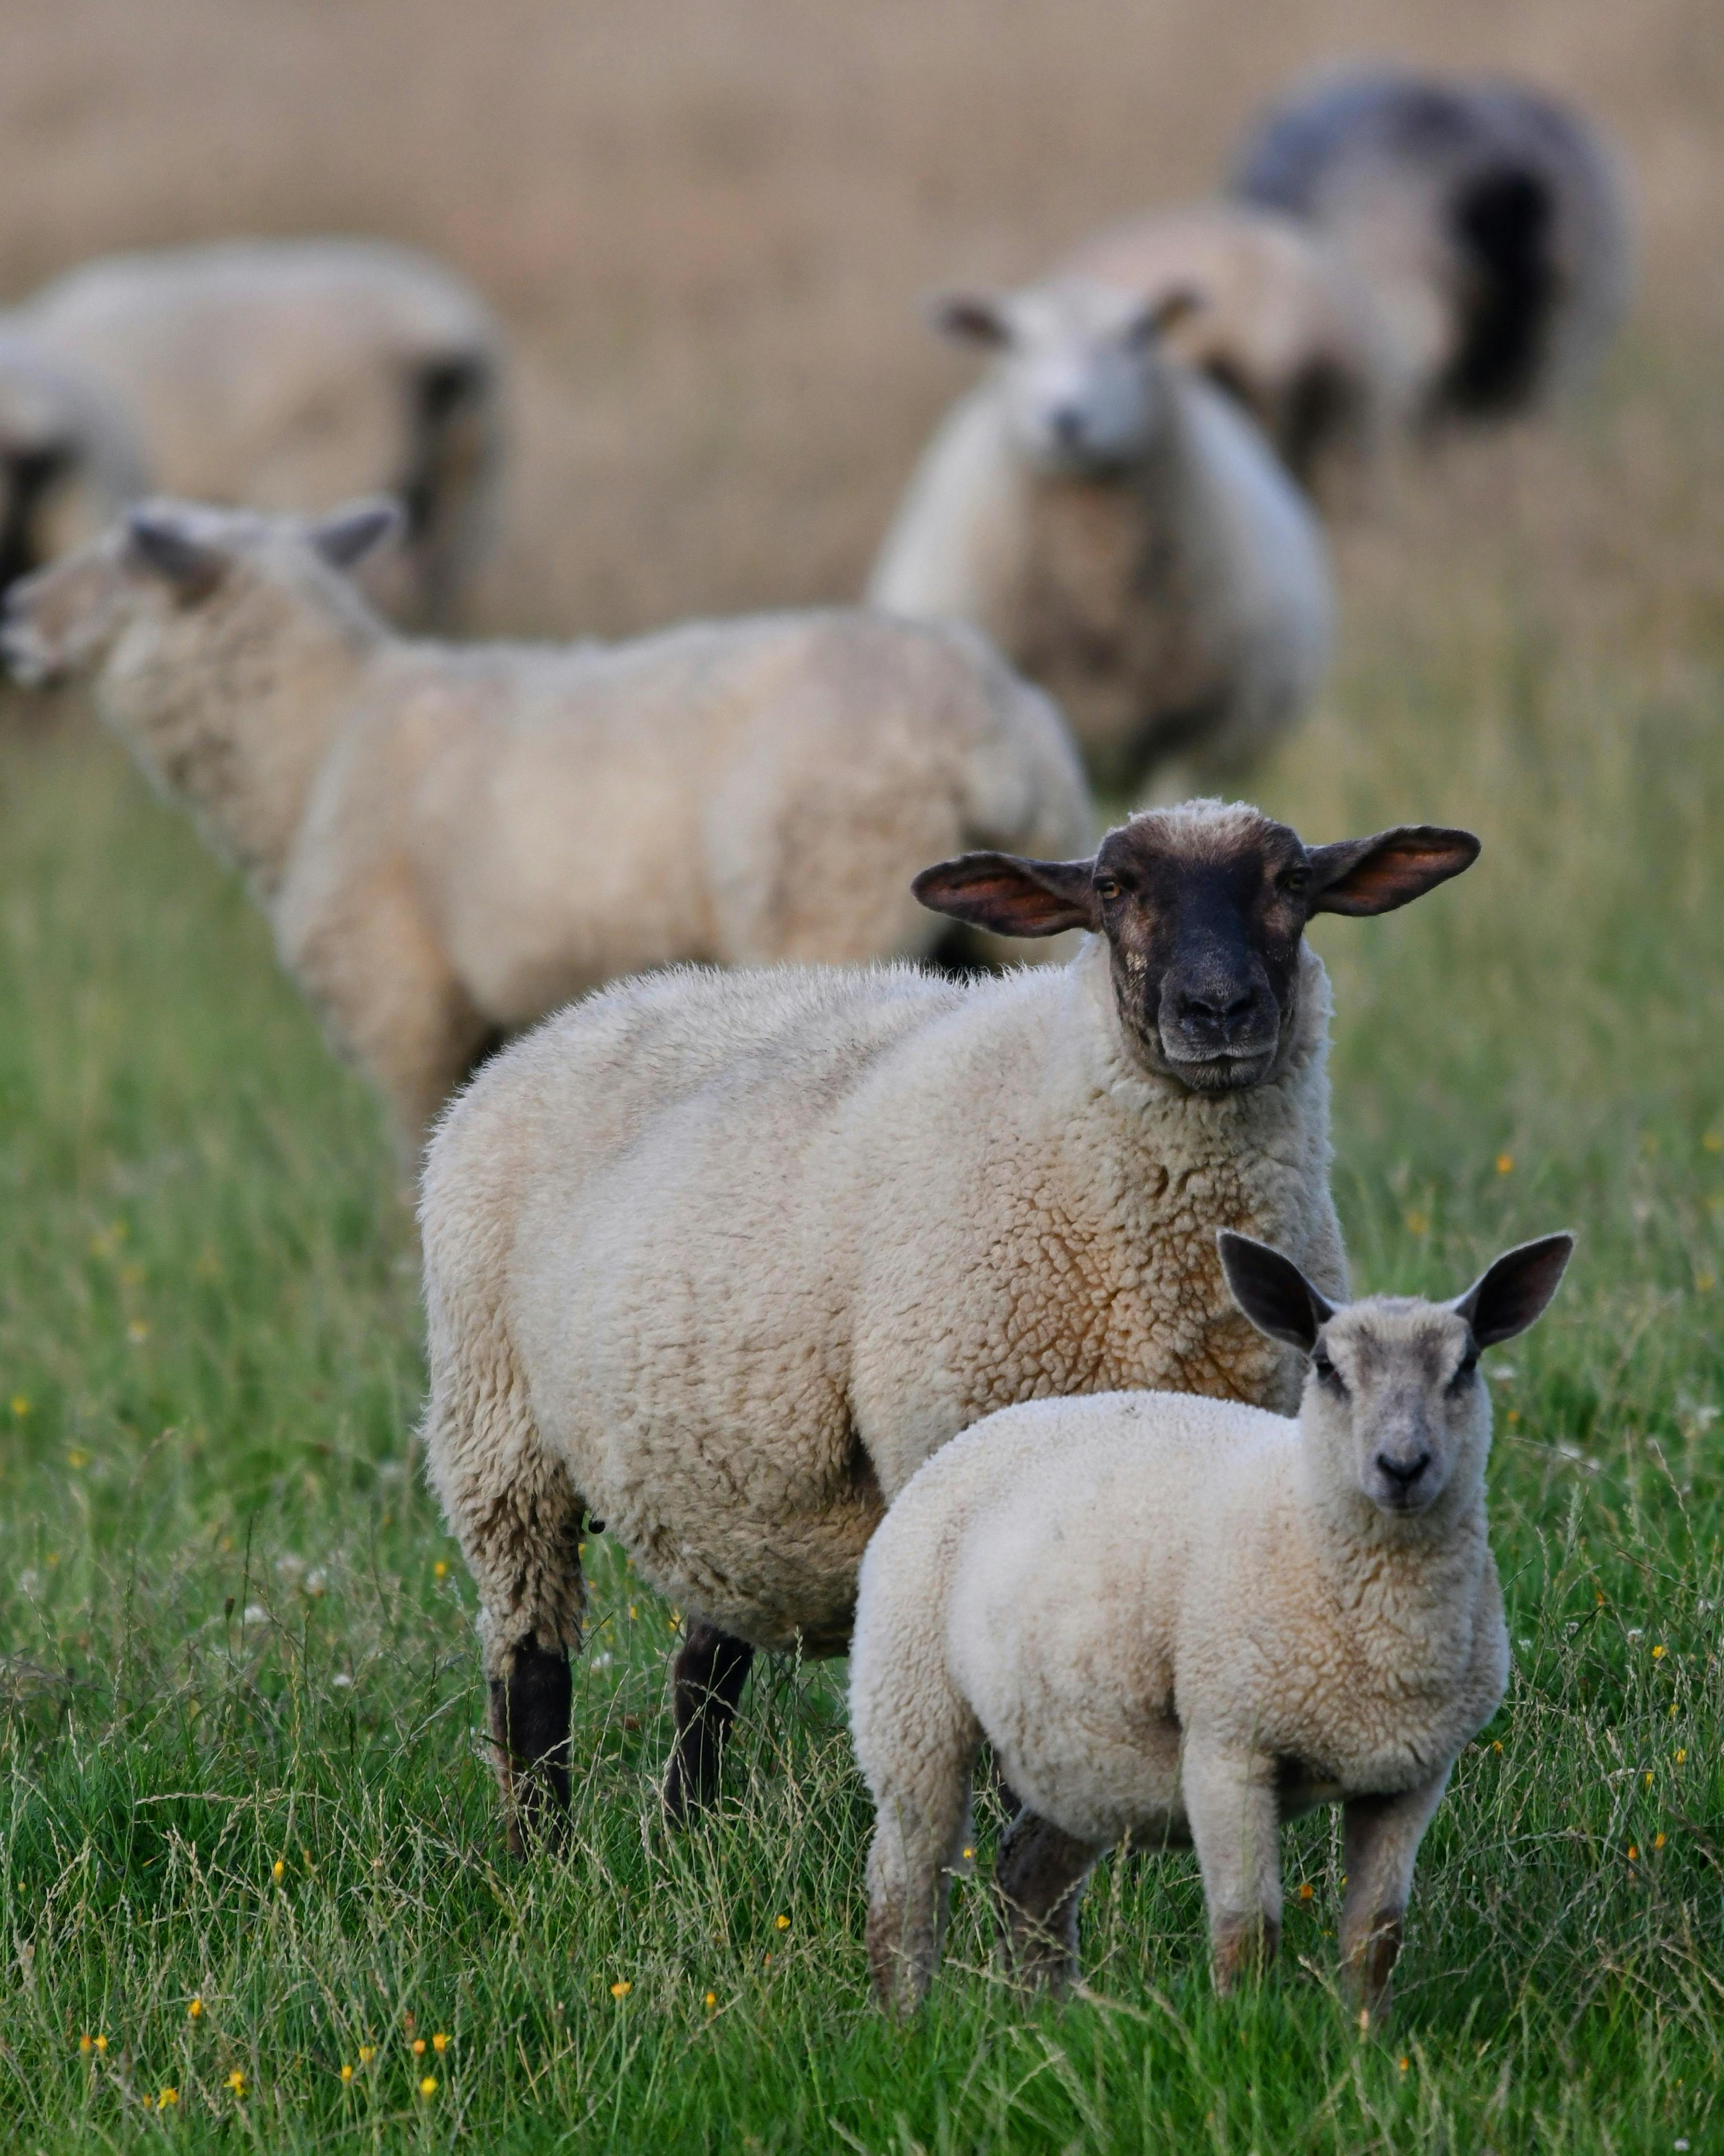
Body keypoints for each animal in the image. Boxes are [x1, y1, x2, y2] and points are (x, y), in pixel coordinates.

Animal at [0, 496, 1092, 1161]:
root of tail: (985, 728)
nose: (11, 616)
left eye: (115, 565)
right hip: (1015, 932)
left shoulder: (404, 1004)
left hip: (828, 897)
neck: (313, 746)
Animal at [414, 799, 1479, 1849]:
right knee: (530, 1662)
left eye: (1293, 882)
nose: (1218, 1010)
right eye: (1112, 888)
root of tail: (569, 1022)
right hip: (497, 1432)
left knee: (706, 1663)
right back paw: (539, 1850)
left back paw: (685, 1832)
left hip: (728, 1471)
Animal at [851, 1226, 1574, 2017]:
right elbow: (1248, 1930)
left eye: (1466, 1365)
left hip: (1079, 1750)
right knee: (905, 1887)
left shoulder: (1408, 1776)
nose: (1403, 1466)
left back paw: (1047, 2016)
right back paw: (905, 2020)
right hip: (909, 1704)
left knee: (1030, 1870)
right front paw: (1245, 2028)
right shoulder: (1229, 1744)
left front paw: (1364, 2035)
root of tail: (981, 1433)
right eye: (1327, 1368)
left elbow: (1375, 1937)